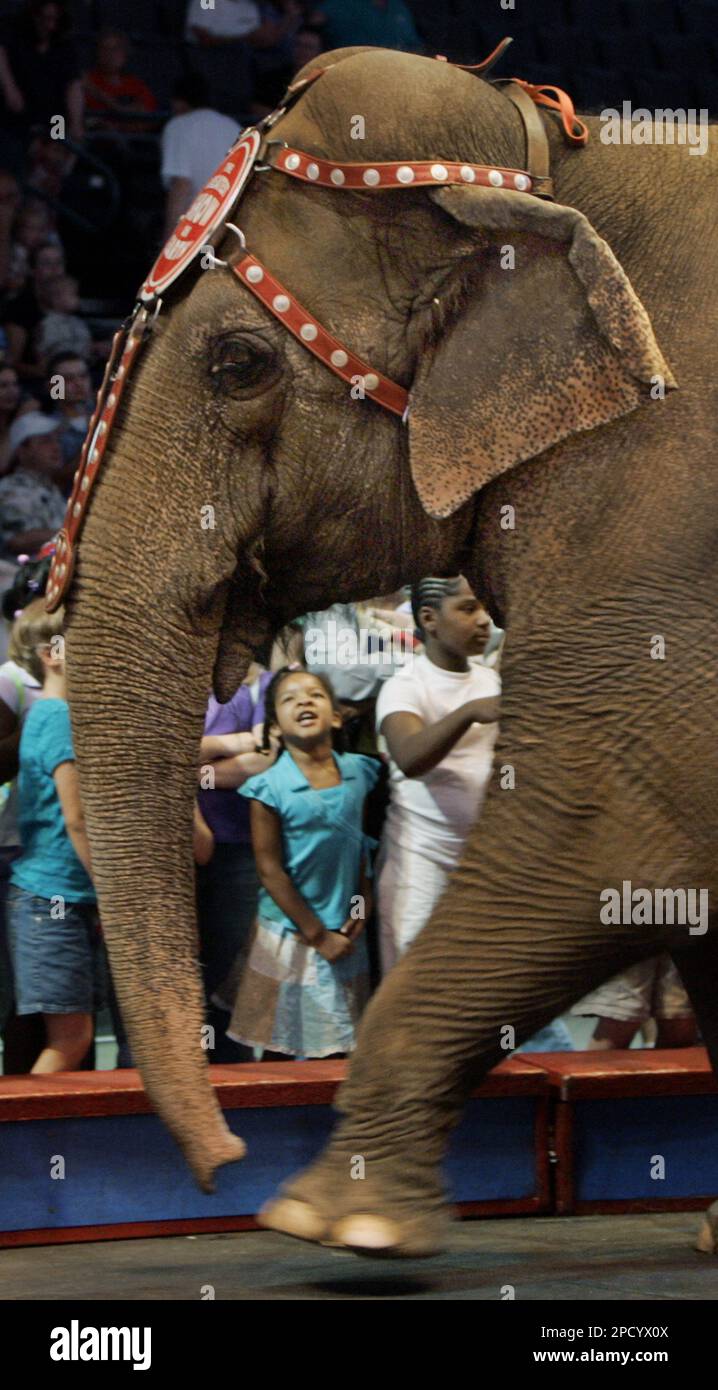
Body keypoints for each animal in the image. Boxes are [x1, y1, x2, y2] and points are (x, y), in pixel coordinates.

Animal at [60, 46, 717, 1256]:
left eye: (236, 364)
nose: (222, 1167)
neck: (547, 156)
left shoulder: (663, 512)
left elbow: (619, 823)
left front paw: (332, 1217)